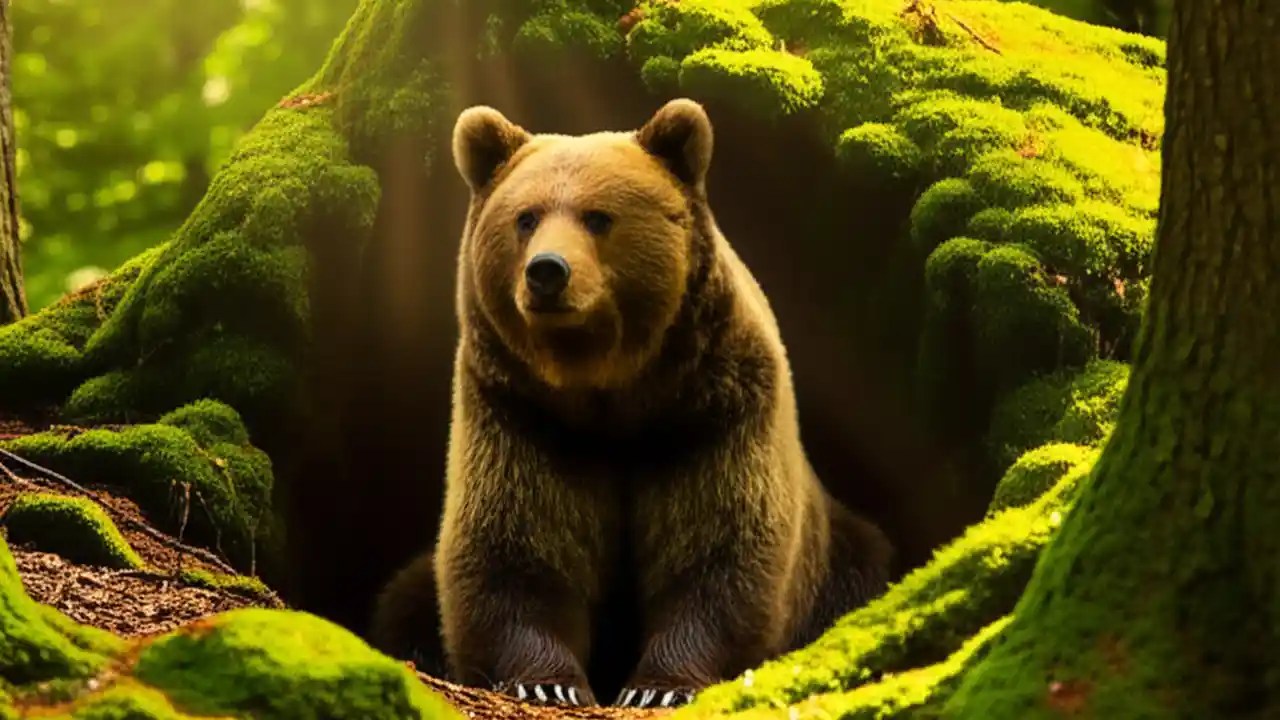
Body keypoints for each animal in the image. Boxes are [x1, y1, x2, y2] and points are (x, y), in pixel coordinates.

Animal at [368, 97, 895, 709]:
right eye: (526, 217)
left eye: (598, 217)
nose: (547, 271)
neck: (610, 391)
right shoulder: (521, 414)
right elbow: (514, 546)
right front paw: (547, 682)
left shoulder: (714, 411)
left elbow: (719, 549)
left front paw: (659, 689)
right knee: (405, 595)